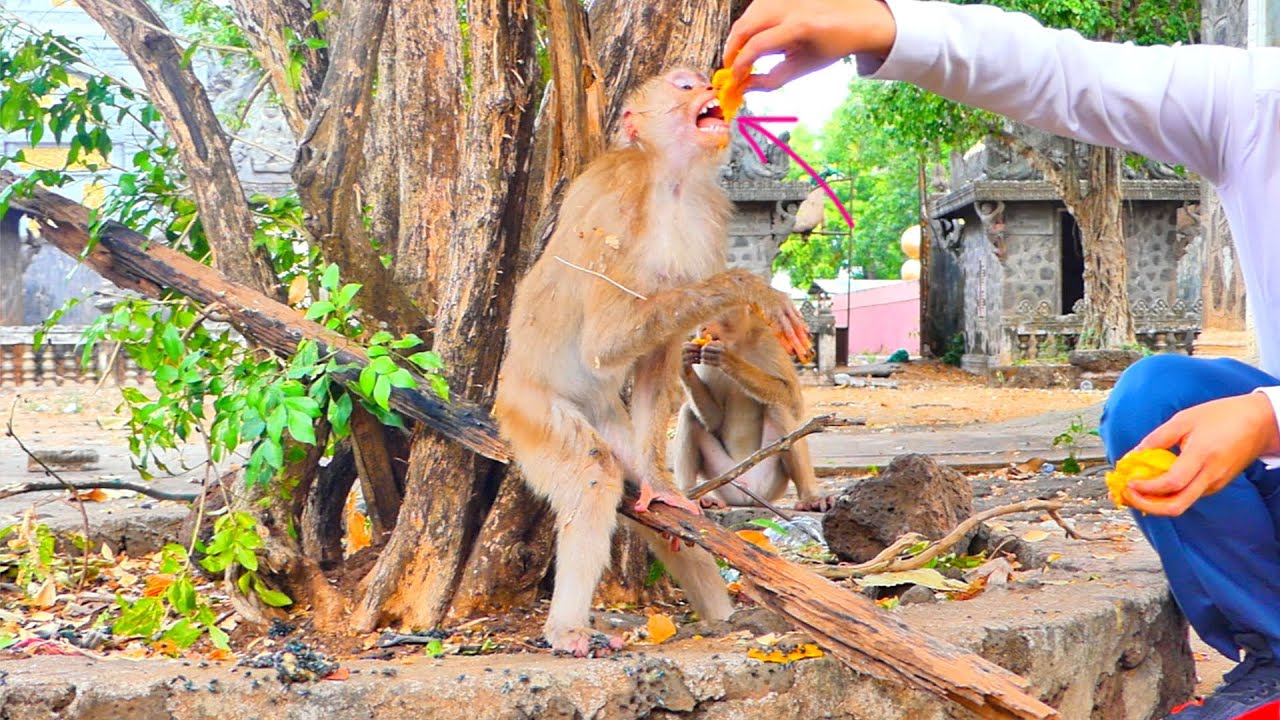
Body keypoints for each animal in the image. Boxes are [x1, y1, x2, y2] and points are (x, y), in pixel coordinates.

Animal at [492, 68, 811, 657]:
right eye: (684, 85)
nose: (708, 88)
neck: (672, 180)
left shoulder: (708, 213)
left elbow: (656, 359)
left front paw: (663, 488)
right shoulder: (618, 195)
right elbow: (604, 339)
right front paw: (748, 285)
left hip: (609, 419)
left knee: (638, 485)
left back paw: (722, 612)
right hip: (532, 412)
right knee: (593, 472)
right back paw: (566, 628)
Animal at [673, 306, 834, 512]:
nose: (702, 328)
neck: (737, 342)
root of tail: (747, 494)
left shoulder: (769, 342)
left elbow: (794, 403)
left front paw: (729, 360)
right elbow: (714, 421)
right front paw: (684, 362)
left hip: (769, 482)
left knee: (779, 409)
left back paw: (810, 497)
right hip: (723, 479)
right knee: (689, 413)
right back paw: (692, 496)